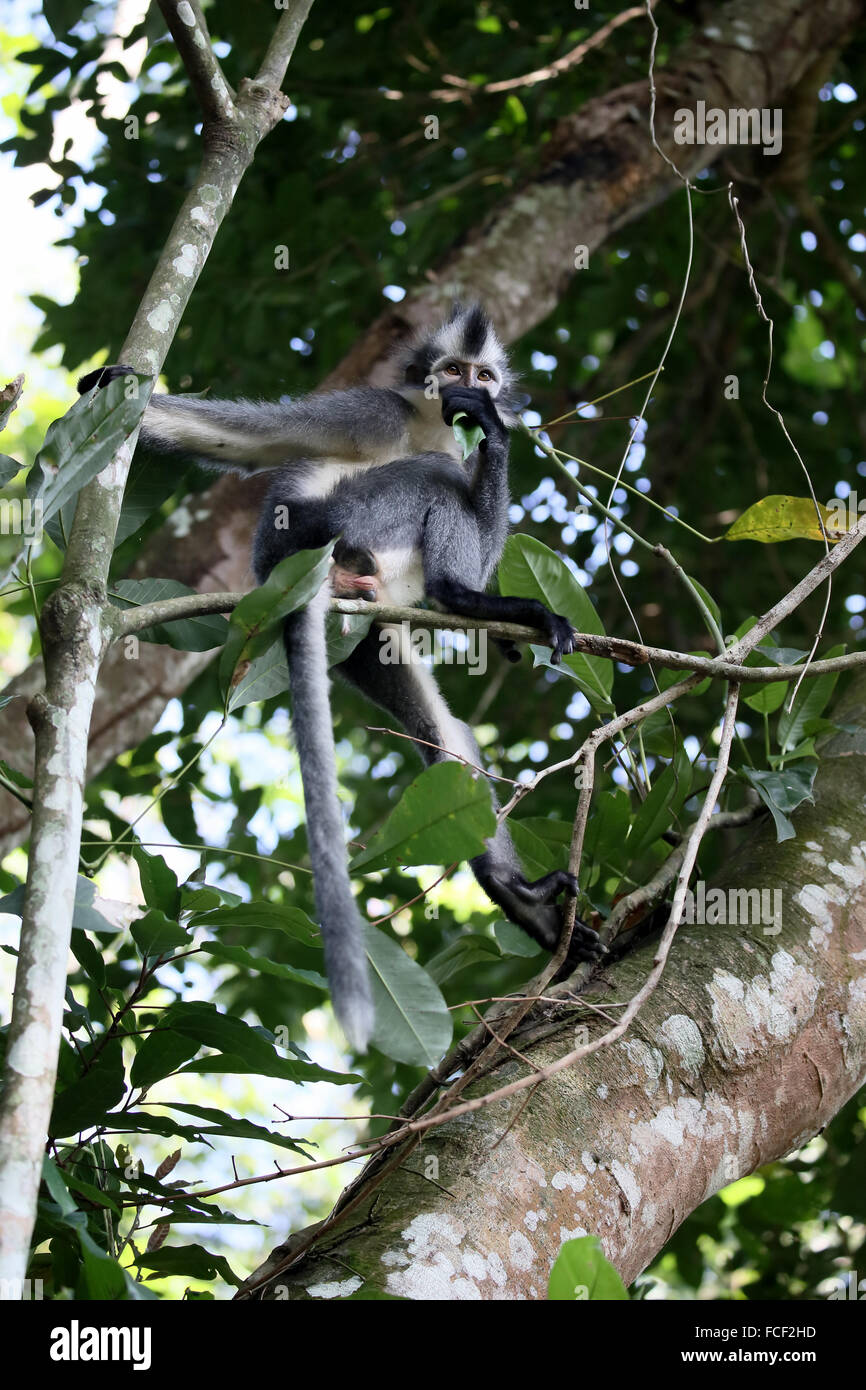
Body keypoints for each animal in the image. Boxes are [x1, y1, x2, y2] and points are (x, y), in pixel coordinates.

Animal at [80, 304, 601, 1050]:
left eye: (481, 375)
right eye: (450, 370)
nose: (465, 391)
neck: (428, 421)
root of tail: (288, 570)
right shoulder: (379, 411)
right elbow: (256, 440)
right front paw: (115, 388)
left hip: (366, 638)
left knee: (442, 735)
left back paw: (519, 897)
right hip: (340, 522)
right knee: (437, 488)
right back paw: (460, 596)